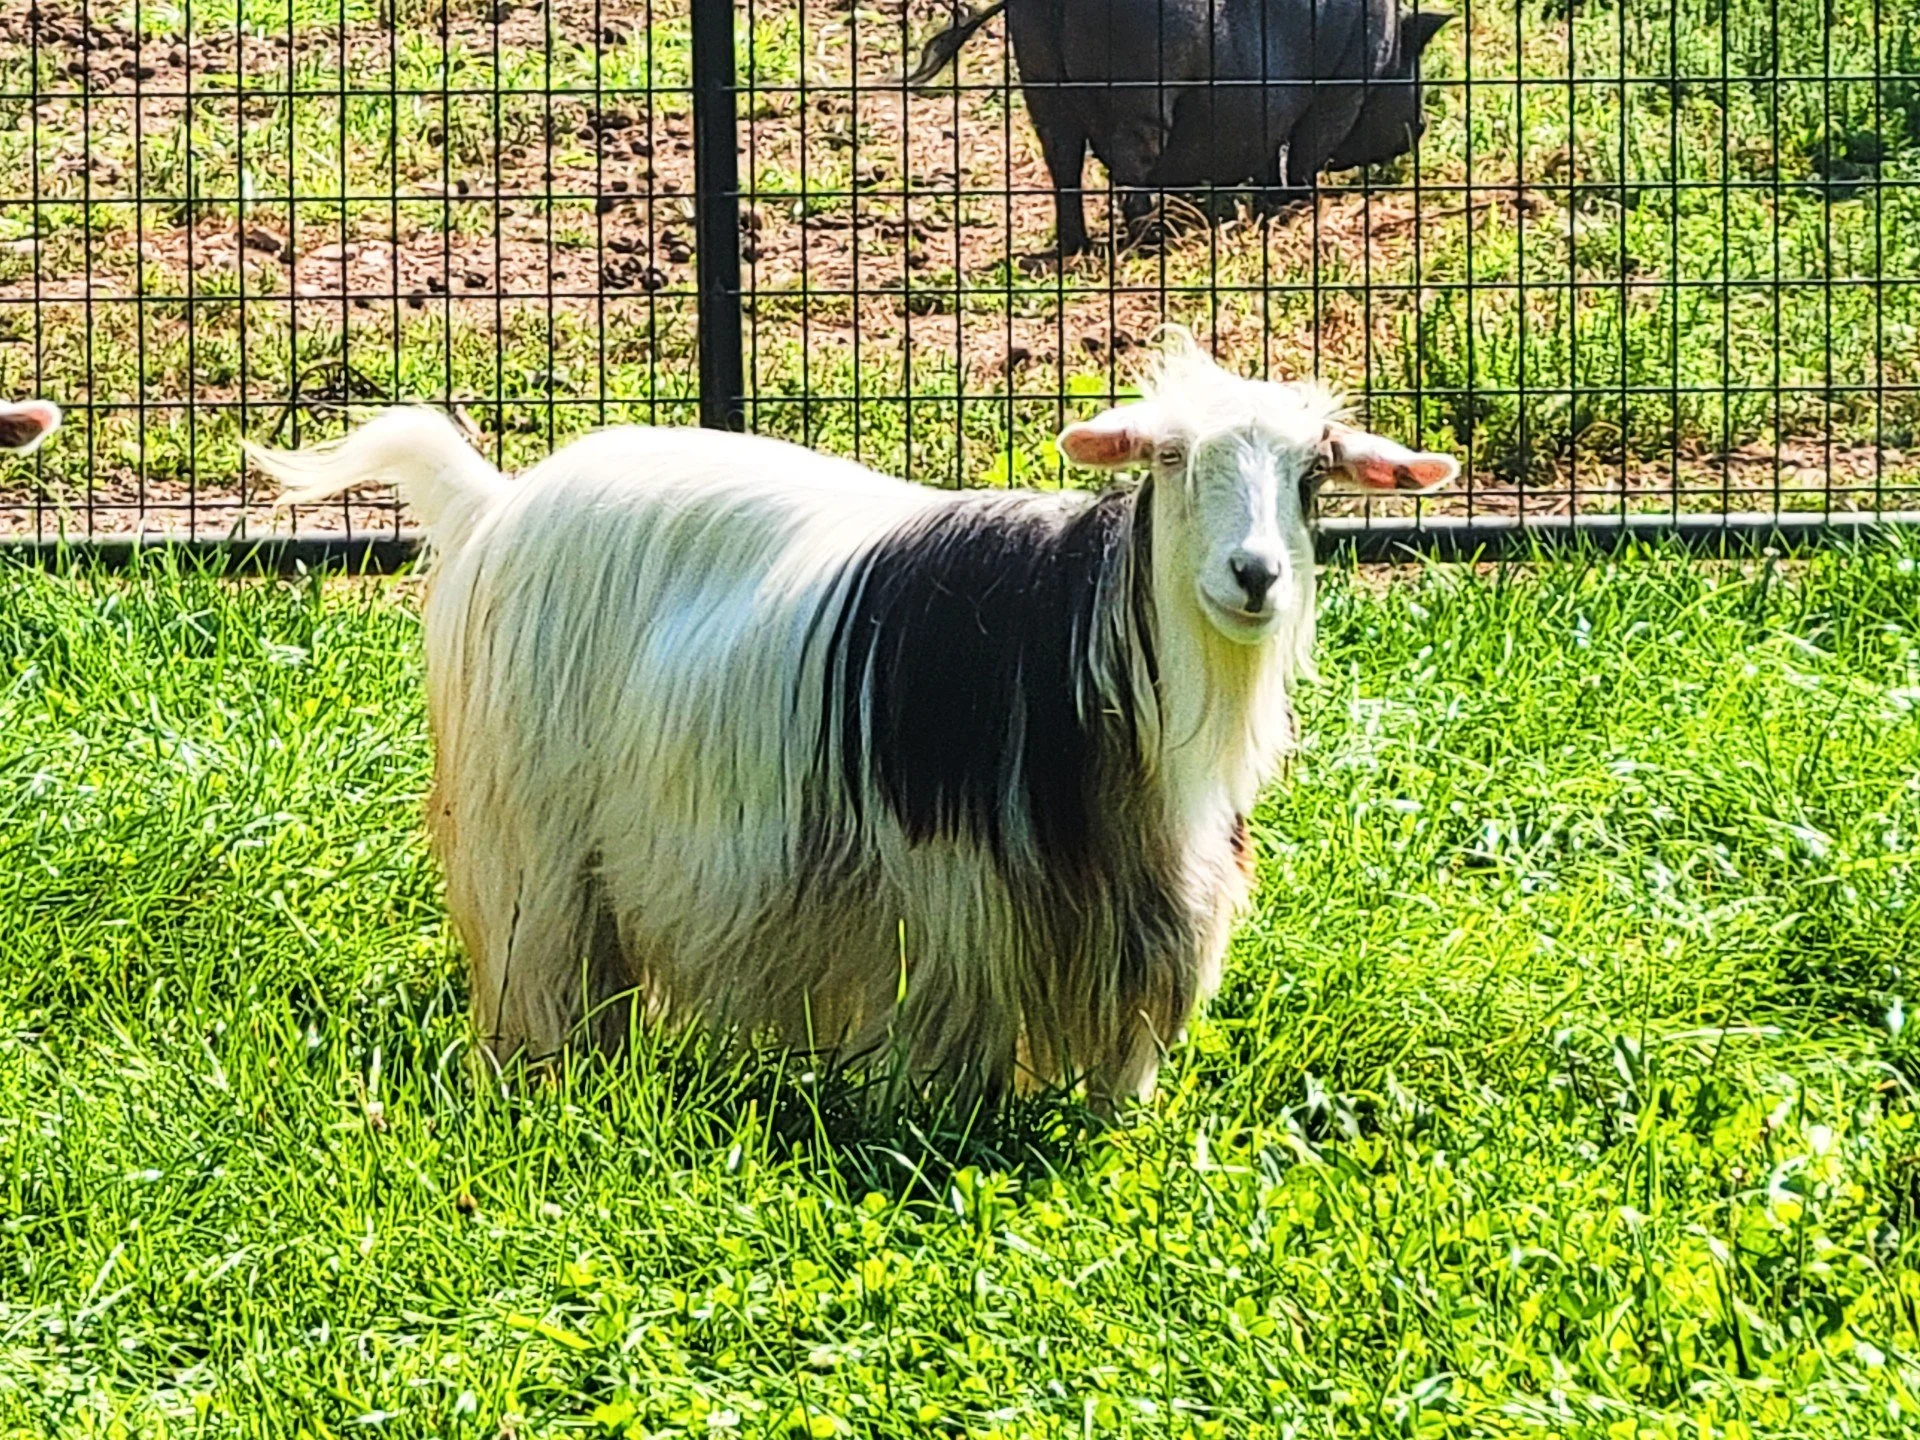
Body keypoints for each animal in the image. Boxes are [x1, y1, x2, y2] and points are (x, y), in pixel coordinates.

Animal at [246, 338, 1457, 1110]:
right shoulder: (955, 885)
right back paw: (551, 1081)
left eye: (1313, 477)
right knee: (541, 971)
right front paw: (928, 1118)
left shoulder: (1150, 904)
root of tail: (495, 502)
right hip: (531, 831)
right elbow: (949, 1029)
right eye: (1170, 457)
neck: (1087, 643)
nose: (1254, 576)